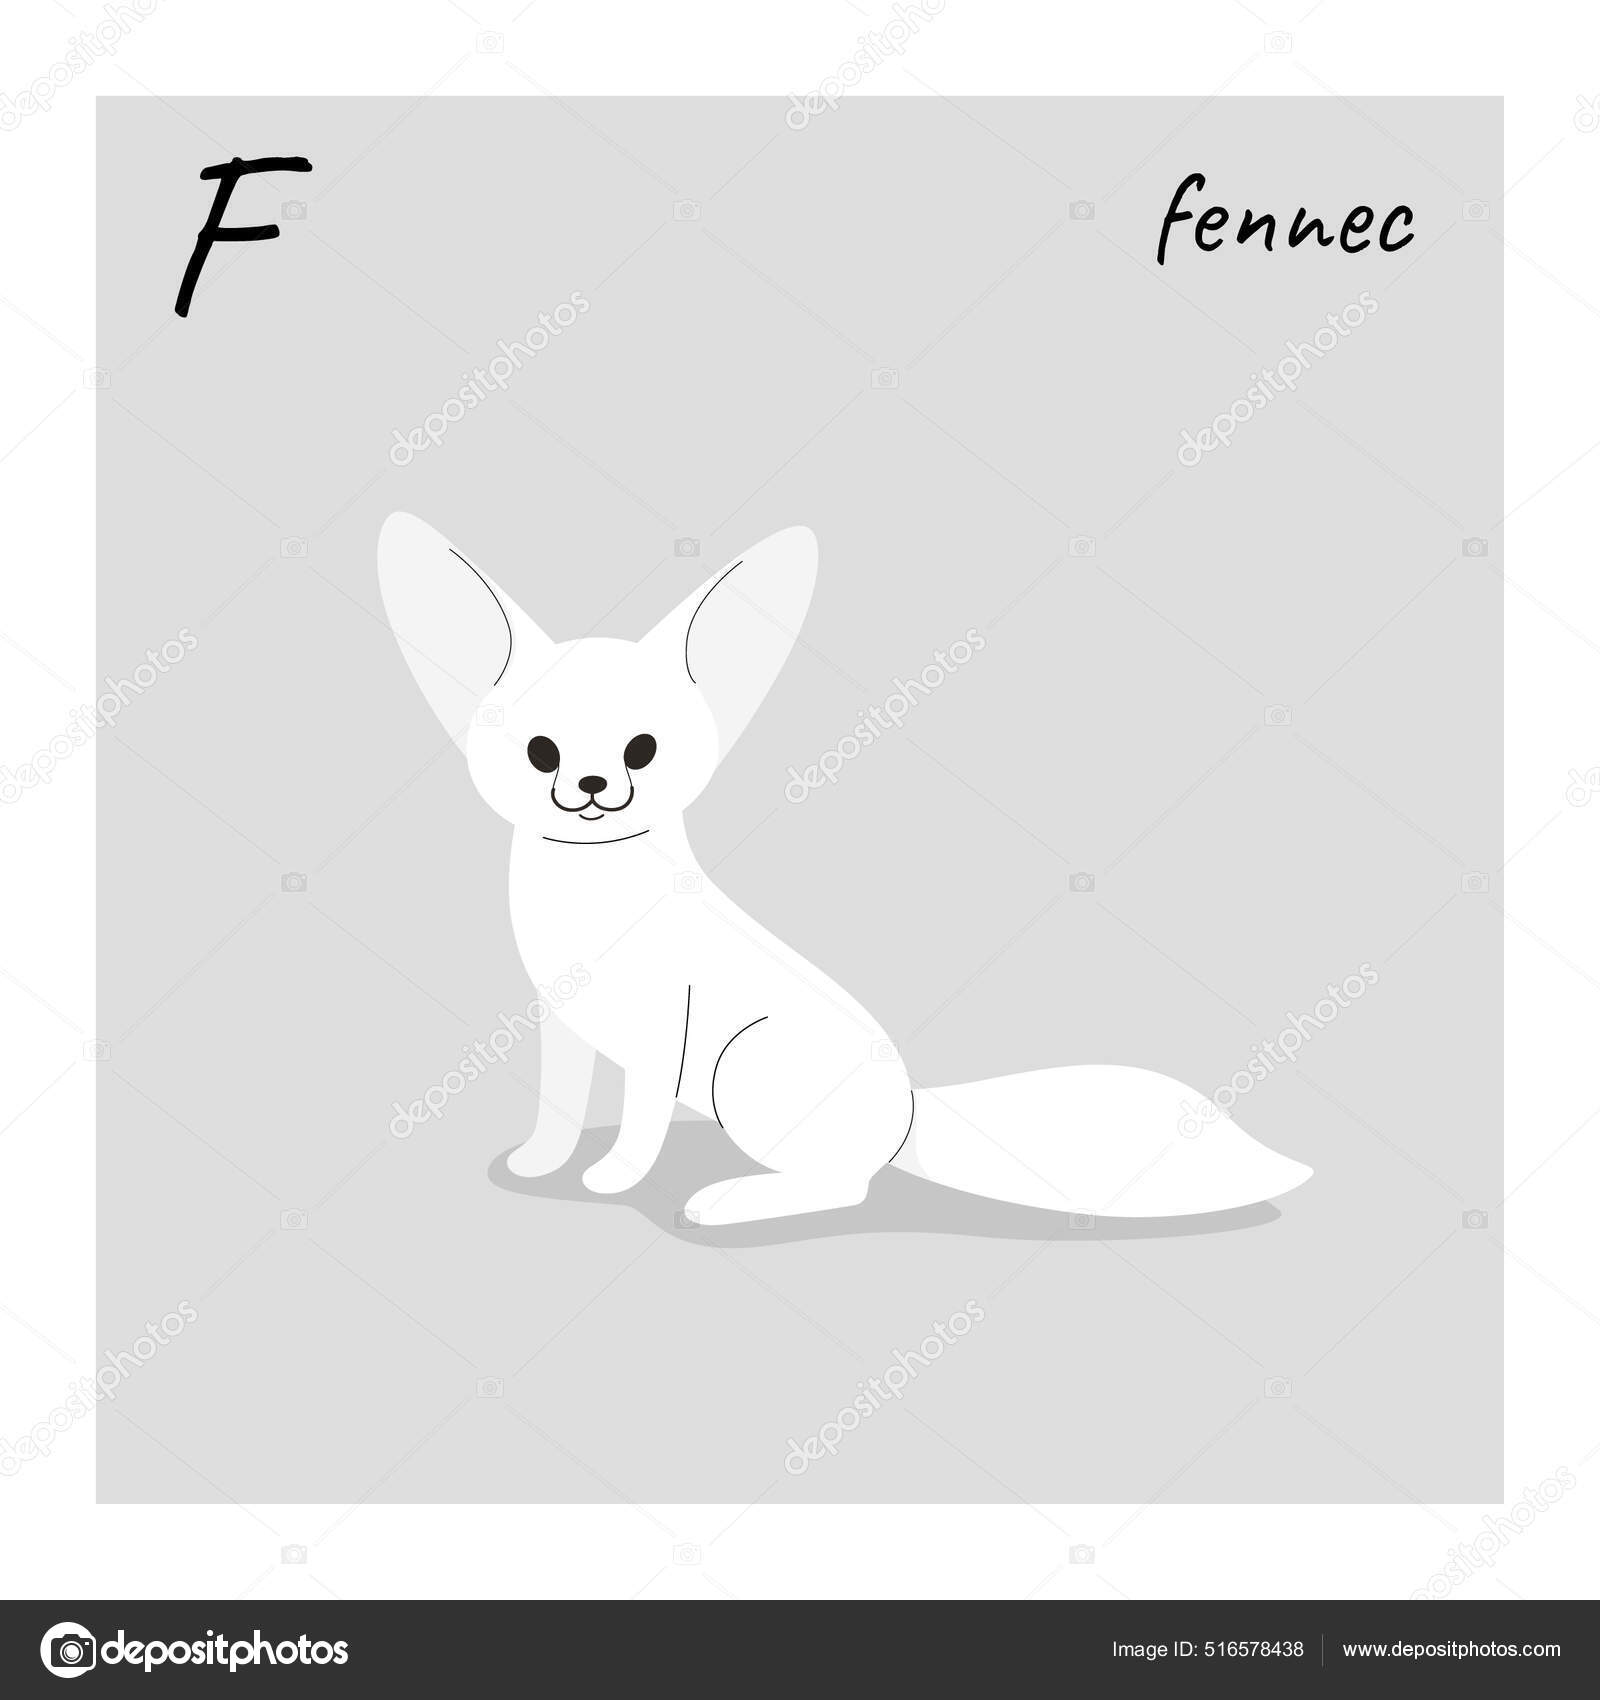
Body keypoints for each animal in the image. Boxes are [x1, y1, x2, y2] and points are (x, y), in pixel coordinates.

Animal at [377, 513, 1313, 1227]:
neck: (591, 888)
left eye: (643, 748)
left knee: (843, 1188)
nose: (596, 787)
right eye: (541, 752)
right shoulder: (561, 1025)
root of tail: (909, 1120)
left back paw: (728, 1201)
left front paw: (614, 1178)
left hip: (744, 1068)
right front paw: (542, 1164)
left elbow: (637, 1121)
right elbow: (559, 1105)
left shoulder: (659, 1028)